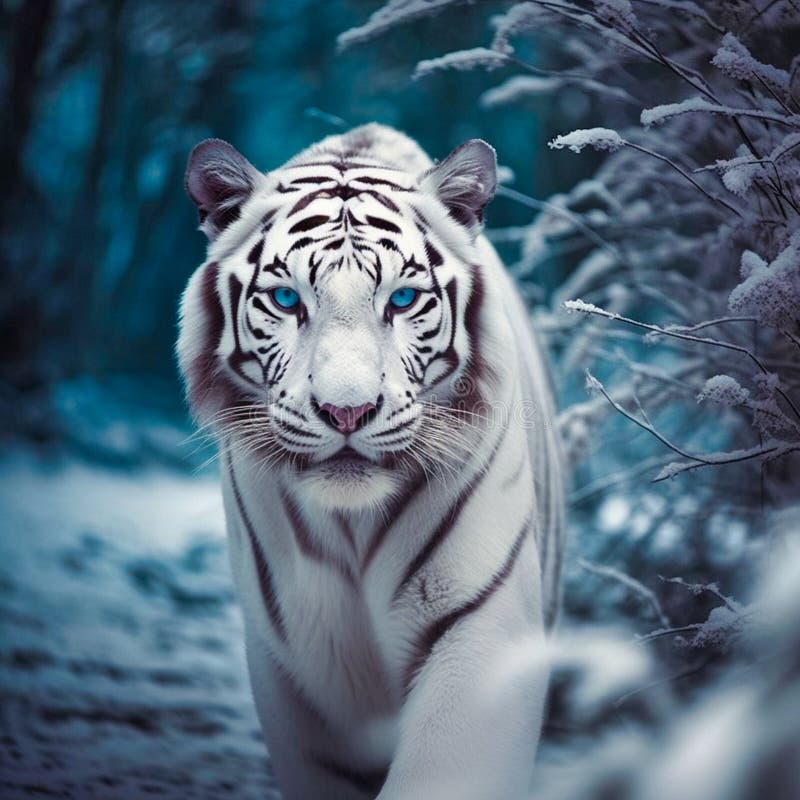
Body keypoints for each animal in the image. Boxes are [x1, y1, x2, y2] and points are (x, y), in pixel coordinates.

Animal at [177, 123, 564, 800]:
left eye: (403, 299)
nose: (347, 411)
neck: (350, 525)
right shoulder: (300, 669)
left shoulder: (482, 632)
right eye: (286, 299)